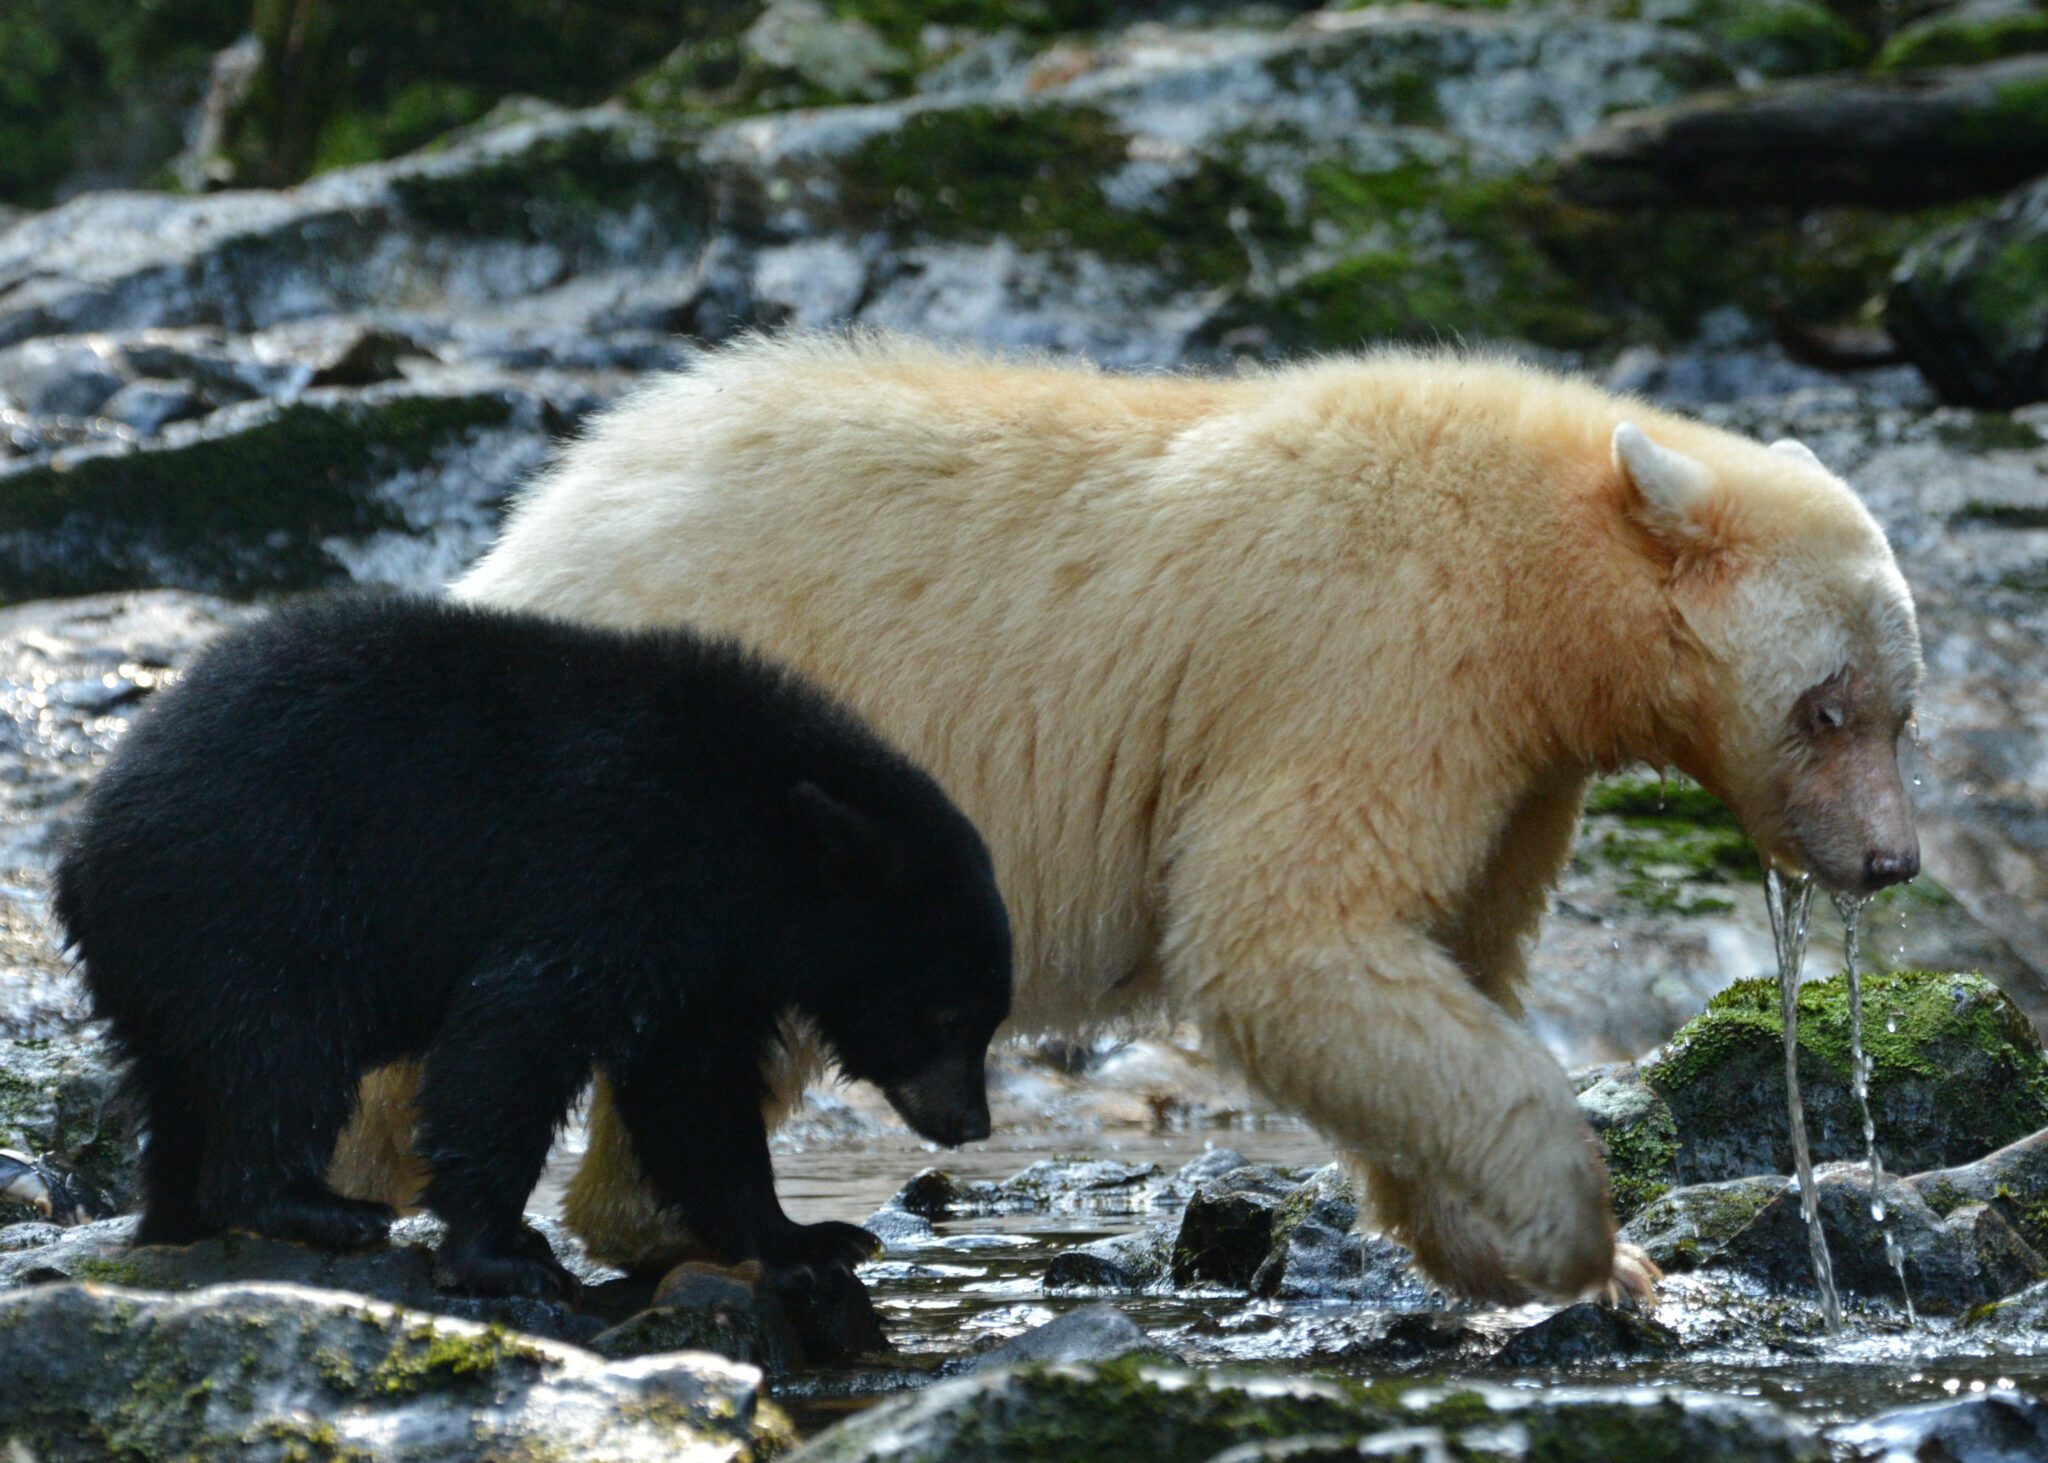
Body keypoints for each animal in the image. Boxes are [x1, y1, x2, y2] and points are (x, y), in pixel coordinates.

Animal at [55, 591, 1013, 1300]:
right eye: (948, 1014)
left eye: (988, 1017)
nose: (971, 1121)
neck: (752, 834)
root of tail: (85, 839)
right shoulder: (613, 865)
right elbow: (515, 1032)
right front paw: (505, 1252)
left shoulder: (704, 963)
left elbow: (695, 1091)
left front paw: (809, 1237)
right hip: (253, 902)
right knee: (279, 1051)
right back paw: (315, 1206)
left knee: (181, 1083)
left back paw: (179, 1215)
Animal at [333, 335, 1923, 1306]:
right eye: (1826, 704)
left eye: (1905, 708)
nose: (1889, 856)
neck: (1540, 551)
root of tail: (535, 526)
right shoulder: (1377, 649)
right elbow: (1290, 928)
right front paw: (1571, 1230)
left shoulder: (1518, 764)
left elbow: (1450, 948)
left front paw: (1529, 1248)